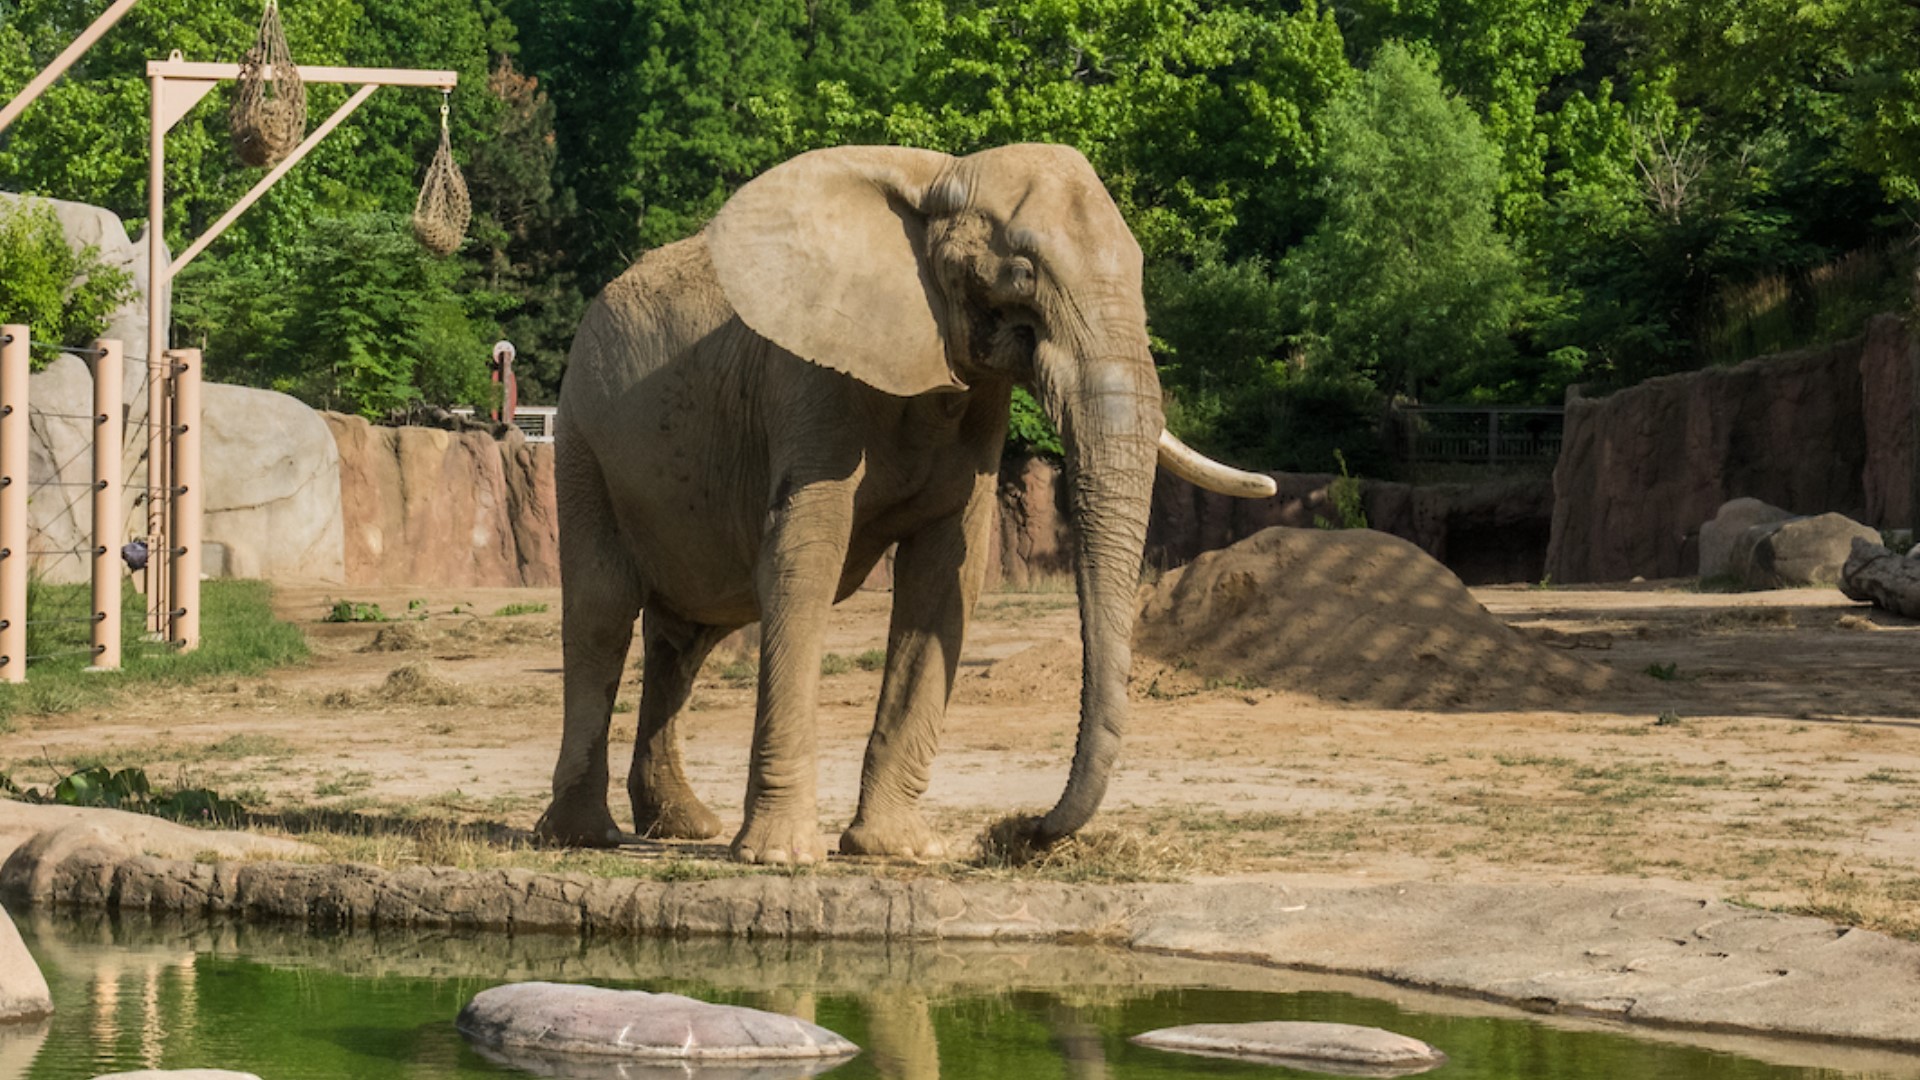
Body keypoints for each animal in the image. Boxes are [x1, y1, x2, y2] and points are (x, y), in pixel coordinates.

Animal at [537, 142, 1276, 864]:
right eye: (1021, 273)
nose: (1022, 832)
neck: (942, 179)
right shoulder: (812, 380)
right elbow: (803, 562)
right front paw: (783, 858)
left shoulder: (976, 398)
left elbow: (946, 574)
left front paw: (899, 850)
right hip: (582, 437)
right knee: (603, 612)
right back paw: (585, 835)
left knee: (687, 637)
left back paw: (682, 827)